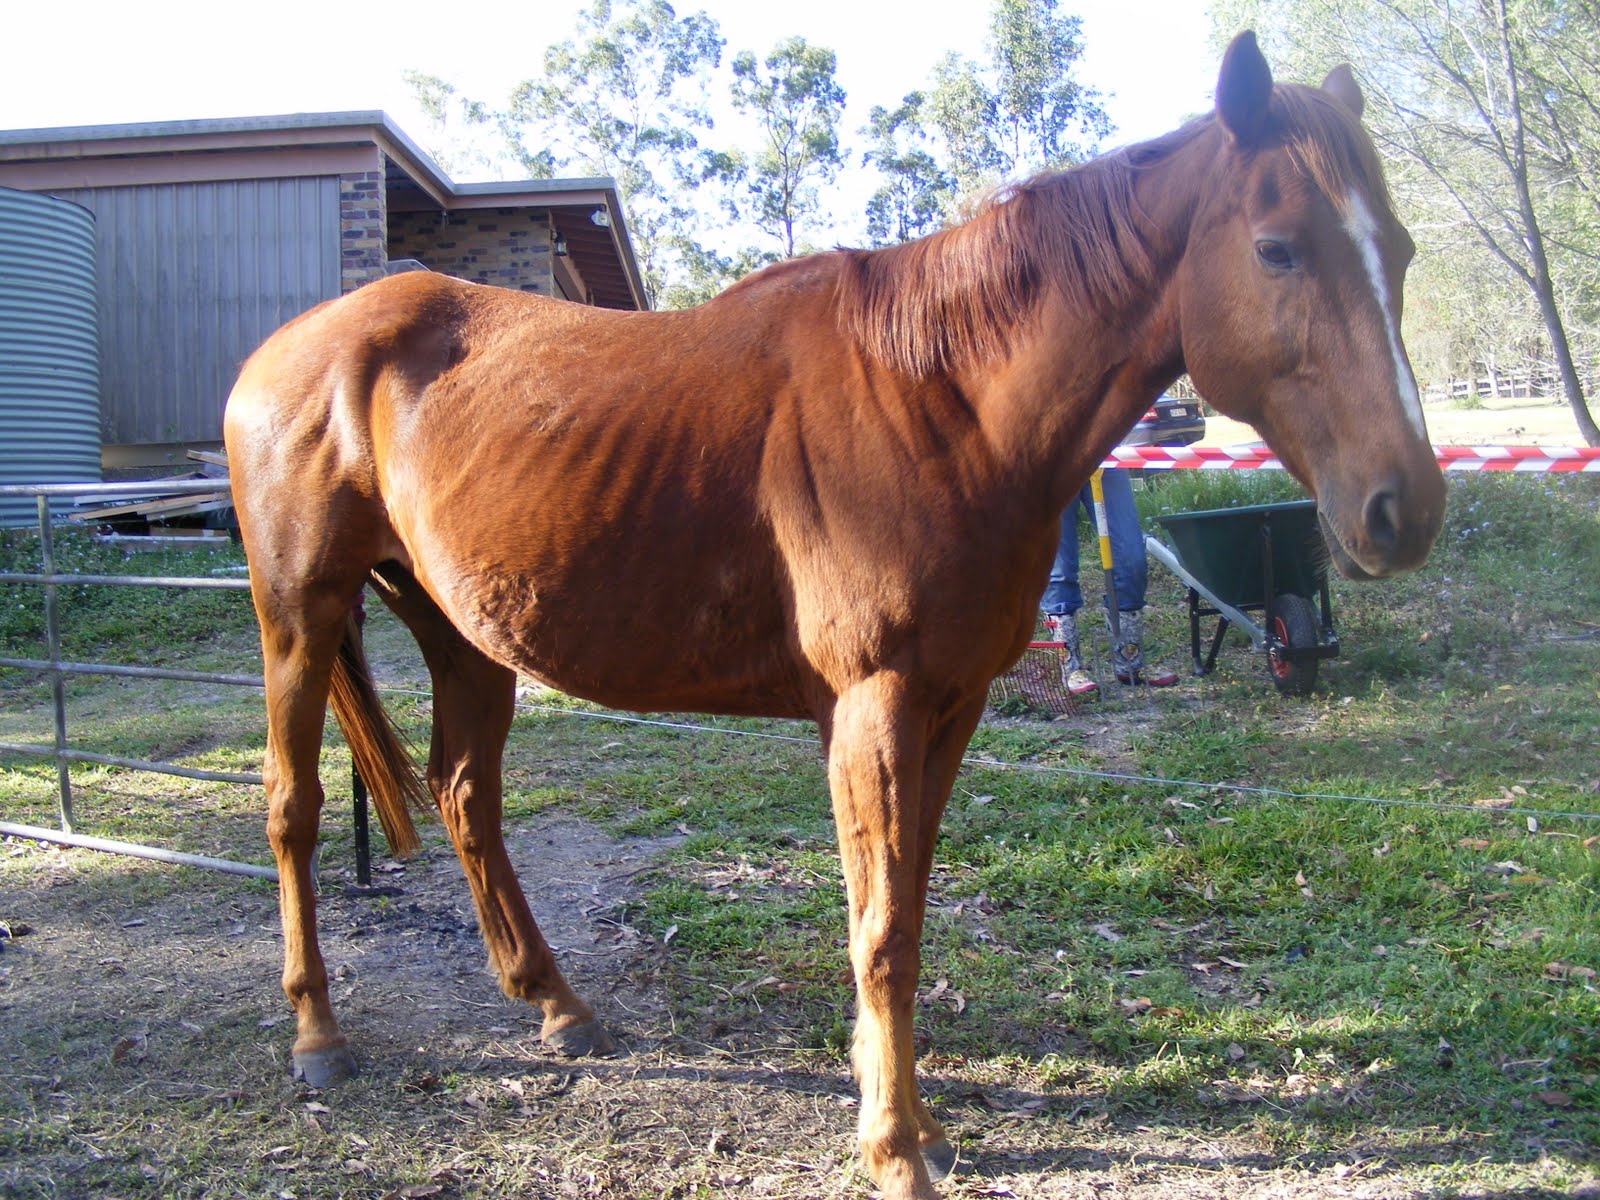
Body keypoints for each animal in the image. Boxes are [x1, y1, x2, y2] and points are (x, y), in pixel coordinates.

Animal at [223, 32, 1444, 1200]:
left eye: (1399, 250)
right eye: (1278, 247)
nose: (1406, 508)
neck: (941, 403)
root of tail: (285, 351)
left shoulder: (948, 707)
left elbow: (902, 908)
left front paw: (913, 1122)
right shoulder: (874, 709)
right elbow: (882, 935)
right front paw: (894, 1149)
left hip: (465, 635)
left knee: (464, 793)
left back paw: (557, 1005)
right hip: (300, 615)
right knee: (292, 808)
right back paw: (318, 1035)